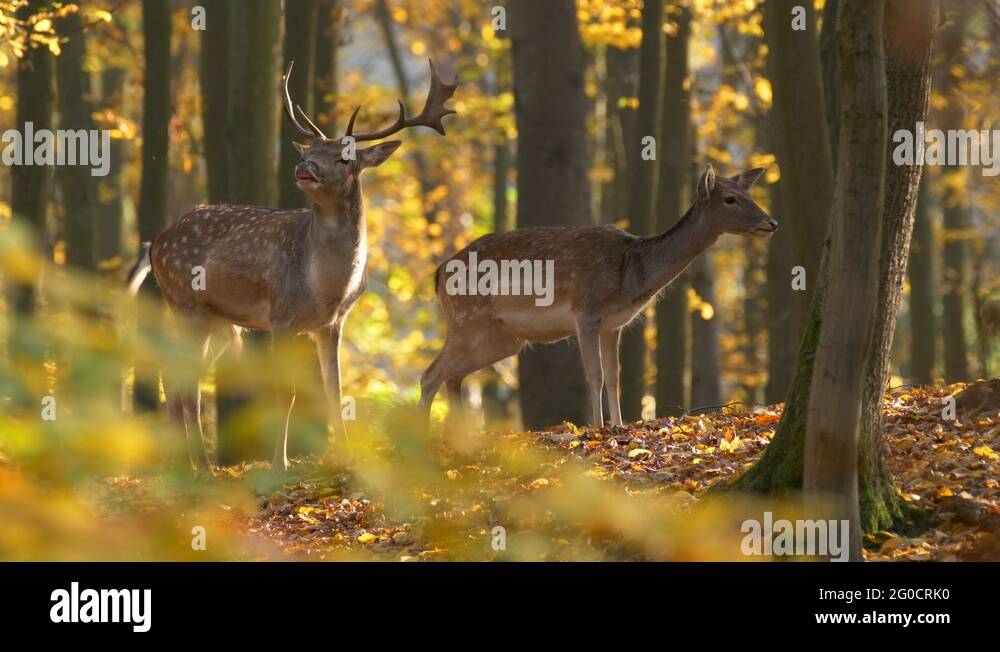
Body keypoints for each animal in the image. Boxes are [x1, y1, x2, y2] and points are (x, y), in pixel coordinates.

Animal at [127, 61, 457, 474]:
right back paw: (200, 467)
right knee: (185, 385)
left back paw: (185, 467)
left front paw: (346, 460)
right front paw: (280, 464)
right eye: (312, 149)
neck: (326, 285)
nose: (305, 166)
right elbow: (287, 393)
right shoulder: (281, 316)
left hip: (221, 322)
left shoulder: (331, 324)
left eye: (346, 156)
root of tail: (157, 242)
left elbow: (334, 389)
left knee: (176, 379)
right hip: (186, 303)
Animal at [420, 165, 776, 429]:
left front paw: (618, 425)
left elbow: (615, 375)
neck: (631, 274)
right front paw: (598, 427)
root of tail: (438, 274)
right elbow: (595, 375)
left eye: (749, 193)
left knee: (453, 376)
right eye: (730, 199)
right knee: (431, 374)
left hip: (503, 338)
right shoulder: (586, 313)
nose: (771, 223)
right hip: (465, 318)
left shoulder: (614, 325)